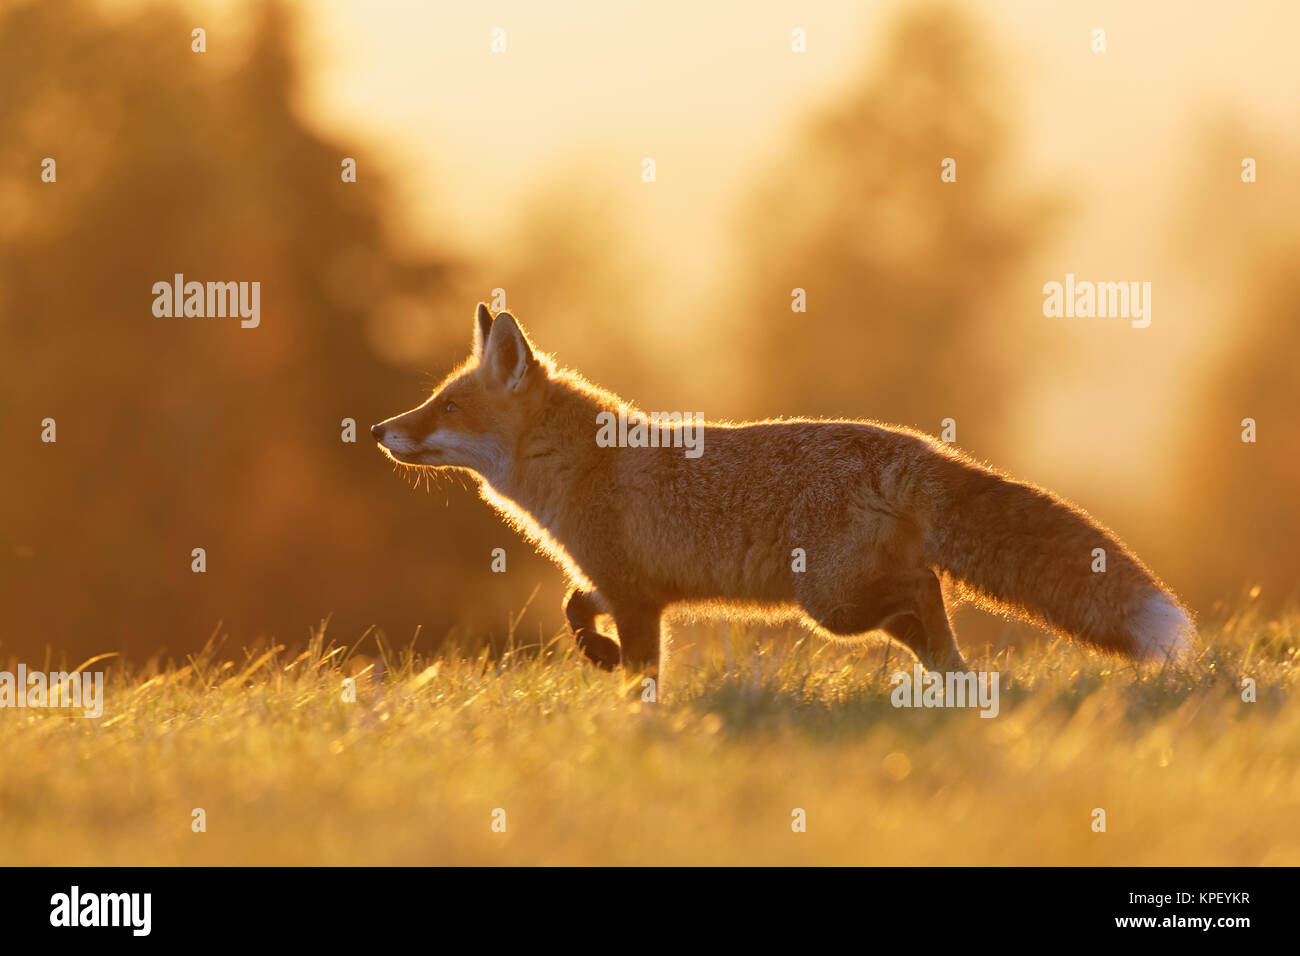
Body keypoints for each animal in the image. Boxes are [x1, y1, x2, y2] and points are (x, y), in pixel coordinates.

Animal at [372, 303, 1194, 683]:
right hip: (848, 600)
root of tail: (910, 444)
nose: (380, 428)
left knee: (926, 592)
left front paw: (639, 724)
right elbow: (574, 609)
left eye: (447, 408)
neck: (579, 467)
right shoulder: (621, 580)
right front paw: (596, 654)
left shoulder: (638, 598)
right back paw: (954, 687)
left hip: (830, 603)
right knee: (931, 620)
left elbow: (644, 679)